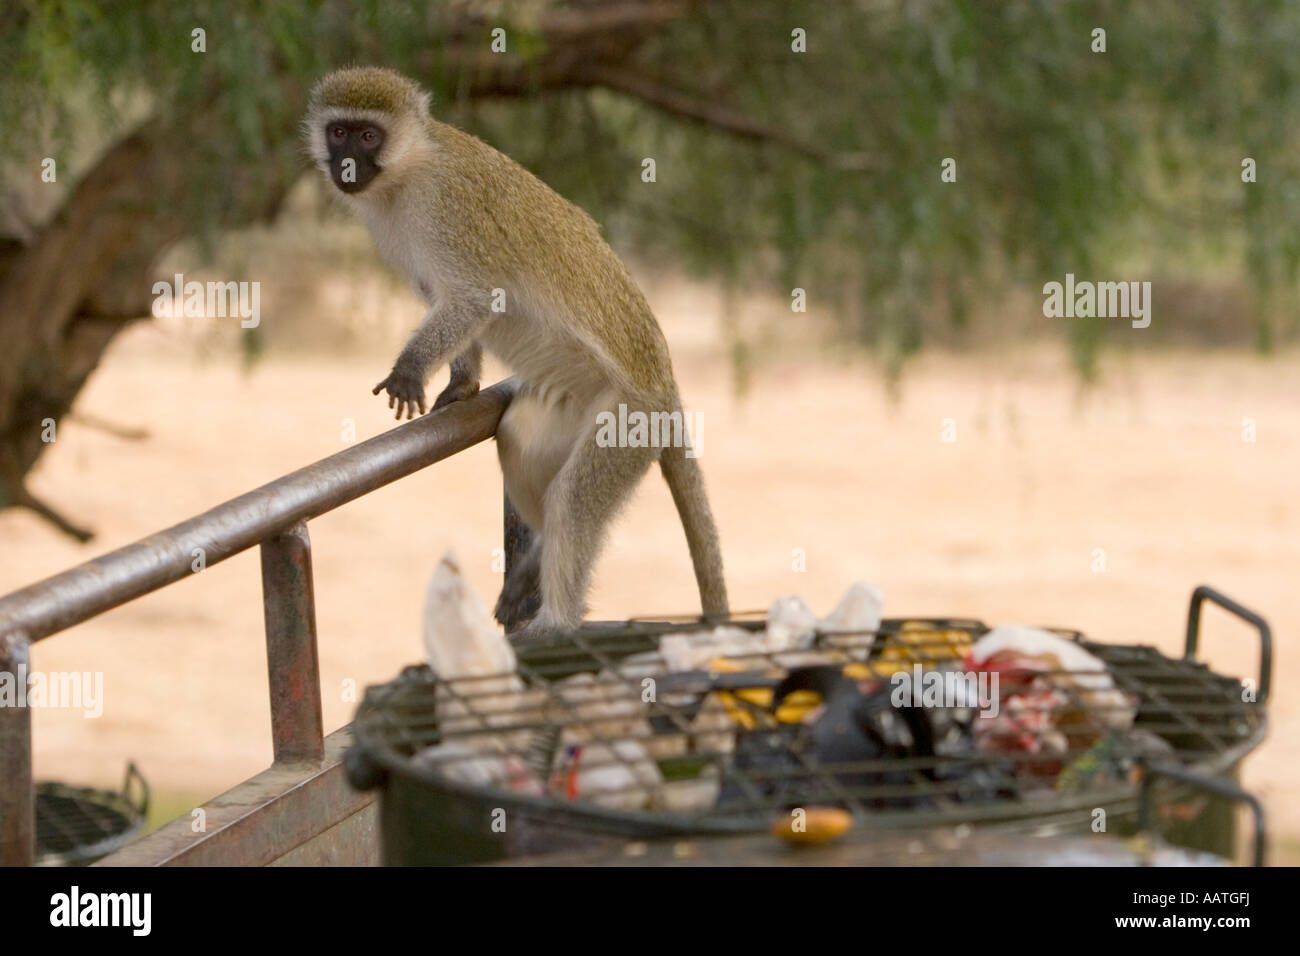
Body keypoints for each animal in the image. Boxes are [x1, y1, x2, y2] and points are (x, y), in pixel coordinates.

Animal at [304, 66, 728, 637]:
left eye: (369, 136)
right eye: (338, 133)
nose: (347, 164)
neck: (407, 173)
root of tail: (666, 385)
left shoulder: (450, 211)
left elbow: (473, 300)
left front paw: (410, 369)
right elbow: (448, 304)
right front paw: (461, 384)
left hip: (633, 419)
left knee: (573, 502)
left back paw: (556, 624)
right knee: (522, 440)